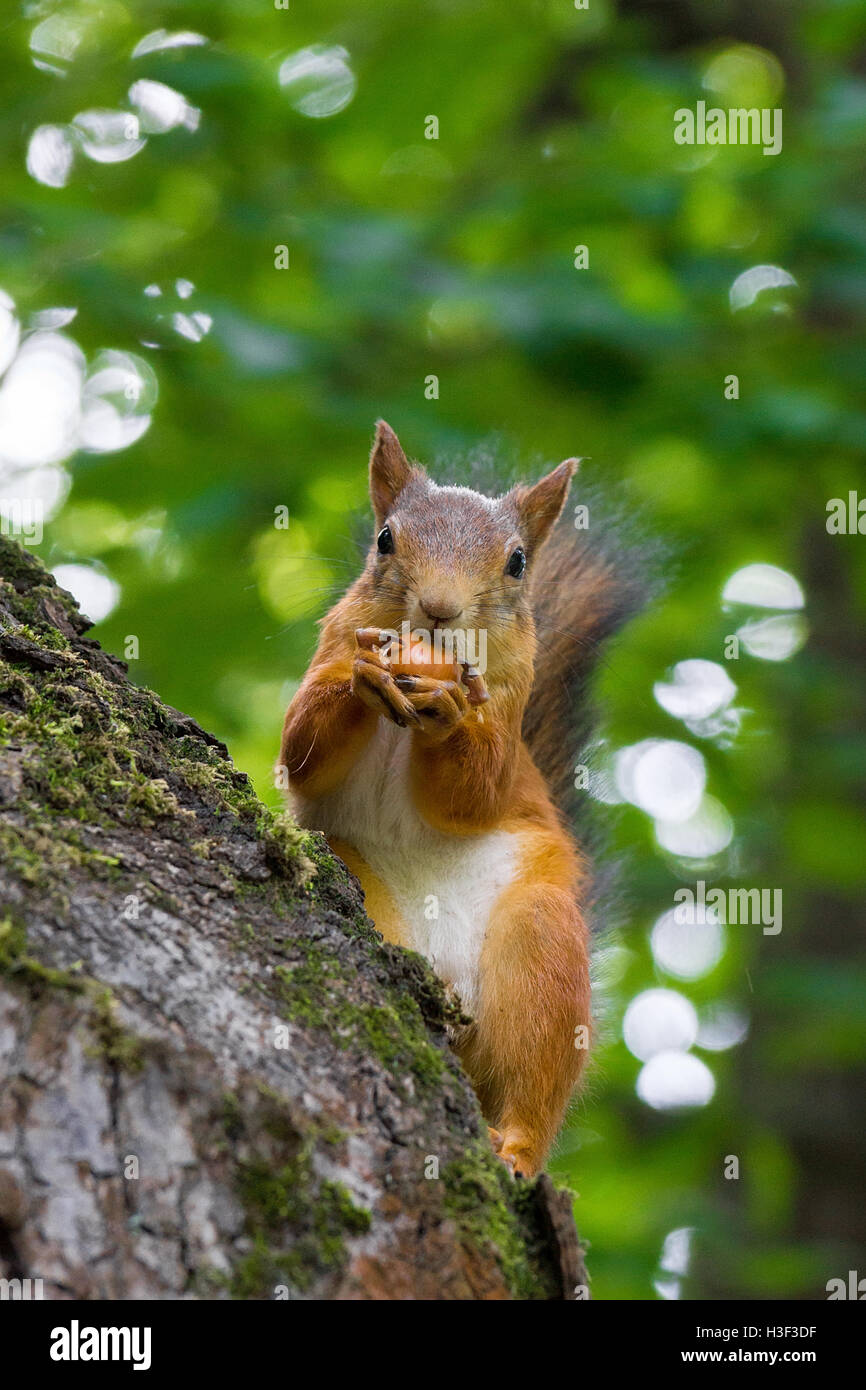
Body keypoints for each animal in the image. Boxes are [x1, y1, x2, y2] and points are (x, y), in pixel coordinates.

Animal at [280, 420, 637, 1177]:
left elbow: (474, 792)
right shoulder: (327, 654)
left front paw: (447, 711)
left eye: (518, 562)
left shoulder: (506, 727)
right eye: (385, 539)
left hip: (540, 943)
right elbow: (302, 747)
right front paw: (363, 676)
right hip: (362, 885)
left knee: (533, 1077)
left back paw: (518, 1146)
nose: (439, 610)